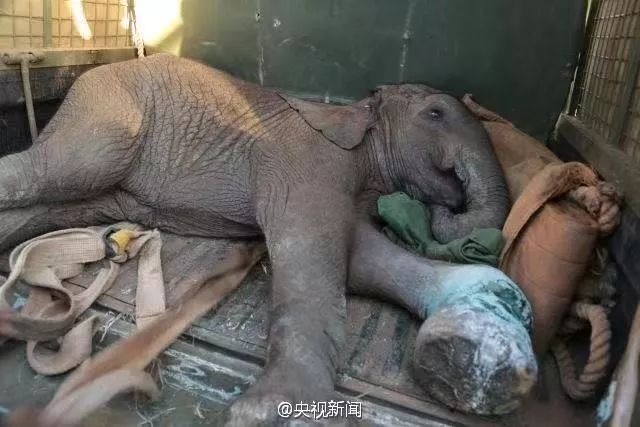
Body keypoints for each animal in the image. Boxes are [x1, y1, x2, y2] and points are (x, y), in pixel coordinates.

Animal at [0, 53, 534, 424]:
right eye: (436, 113)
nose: (448, 206)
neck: (357, 116)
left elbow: (359, 258)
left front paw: (470, 353)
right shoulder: (307, 166)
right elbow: (312, 254)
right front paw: (274, 411)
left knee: (49, 206)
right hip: (107, 120)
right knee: (47, 174)